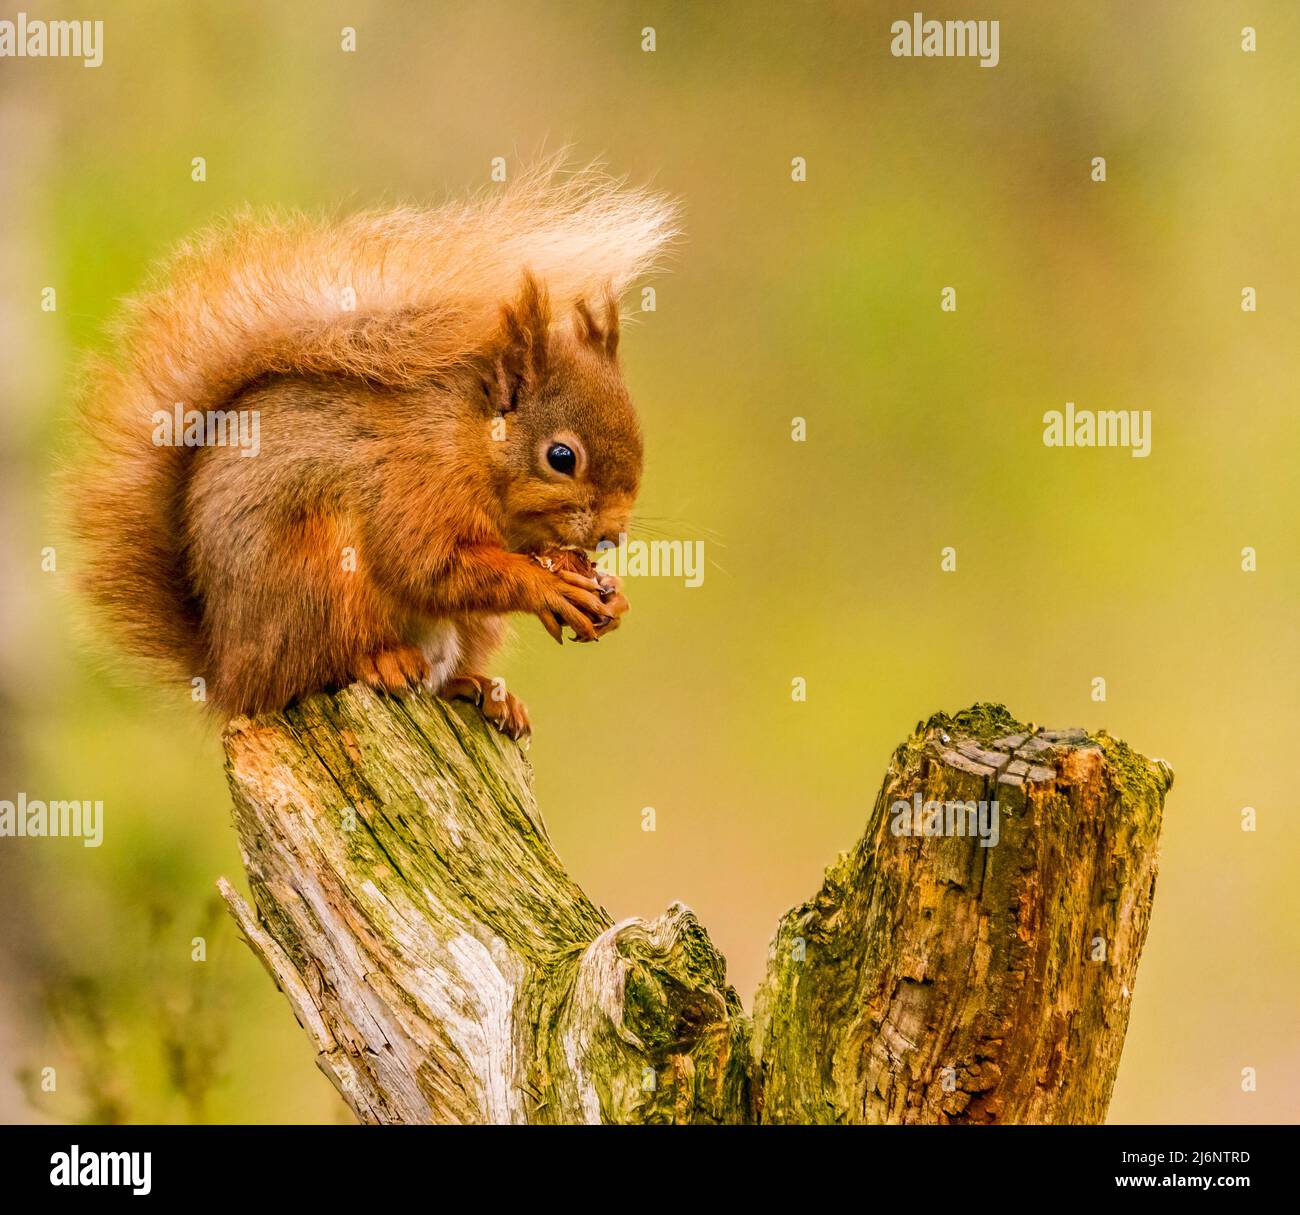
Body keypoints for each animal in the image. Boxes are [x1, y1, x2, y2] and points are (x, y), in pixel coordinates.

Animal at [70, 161, 678, 737]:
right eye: (561, 458)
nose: (612, 536)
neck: (467, 442)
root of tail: (229, 676)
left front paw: (610, 594)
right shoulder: (414, 486)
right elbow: (426, 566)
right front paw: (546, 585)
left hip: (468, 626)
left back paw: (484, 690)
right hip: (318, 578)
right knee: (324, 665)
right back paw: (383, 661)